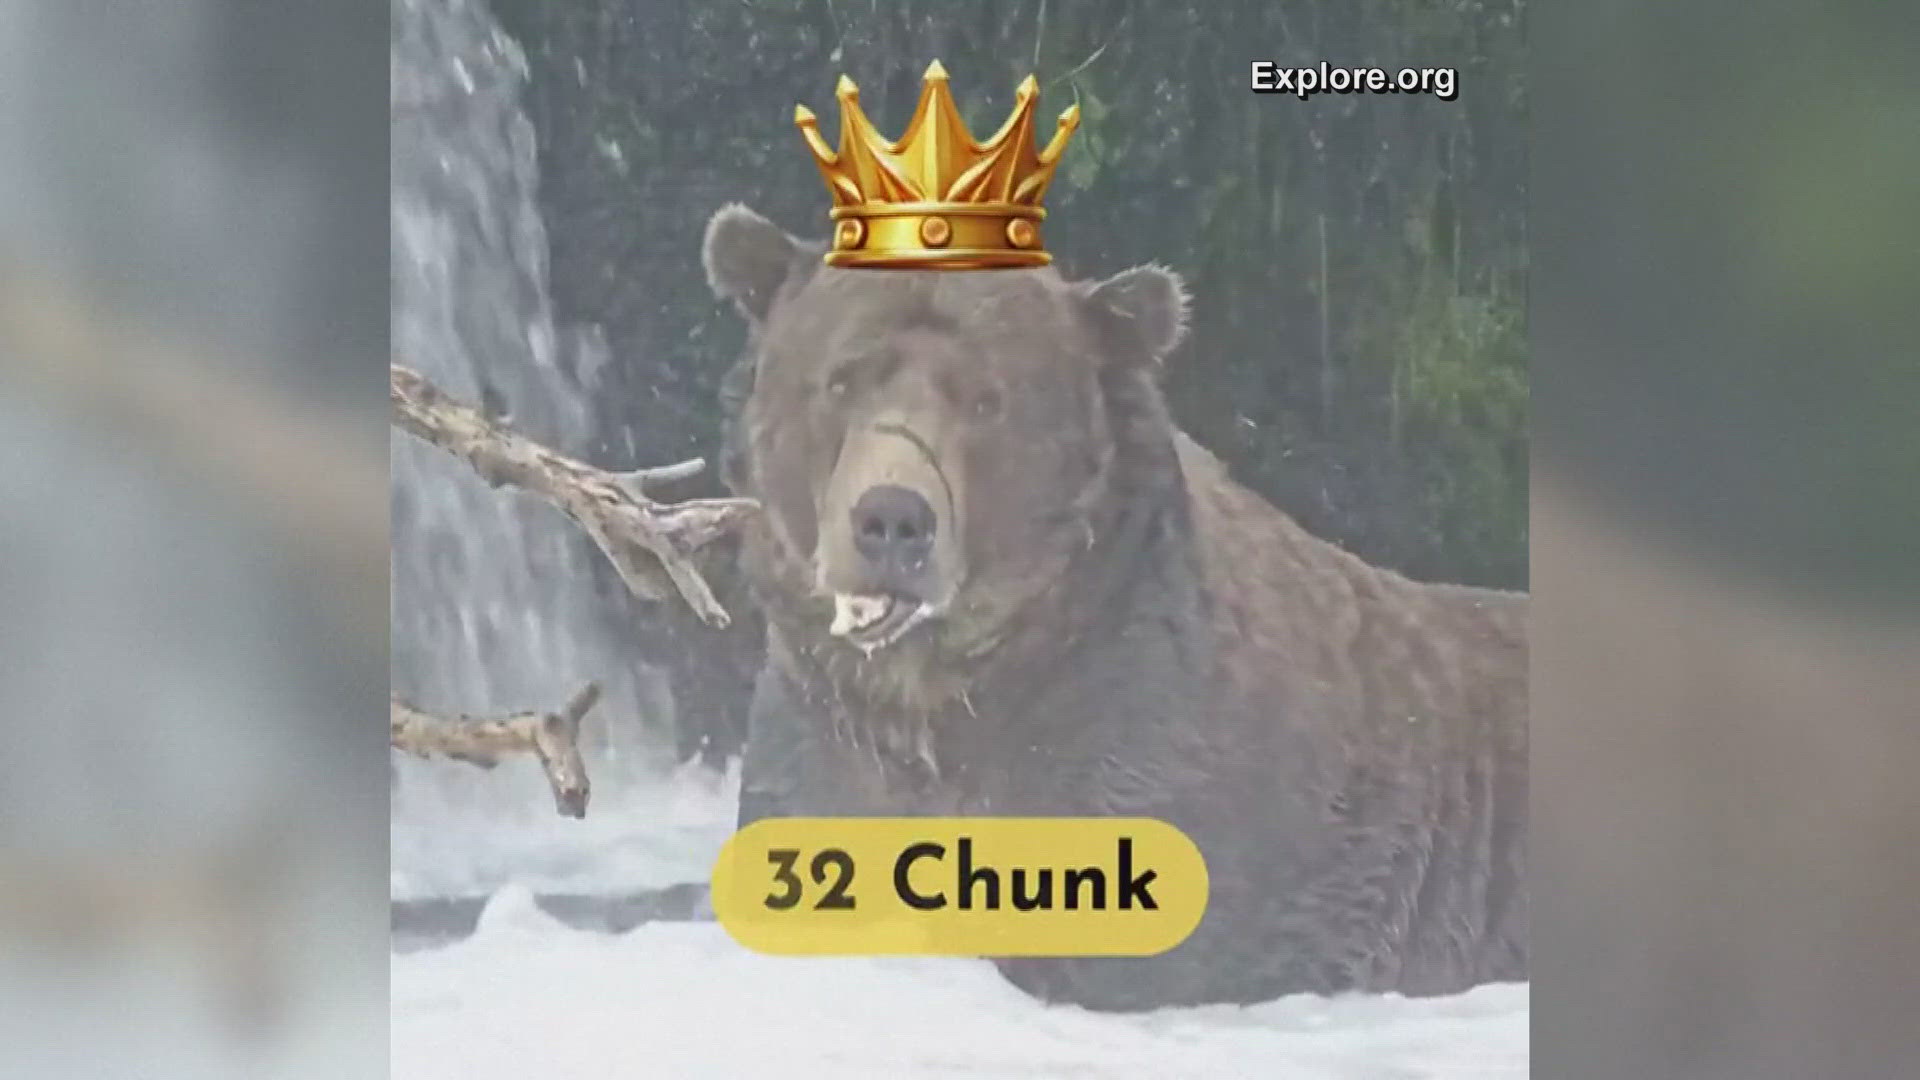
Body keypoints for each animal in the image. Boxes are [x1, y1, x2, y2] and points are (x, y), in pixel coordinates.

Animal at [702, 202, 1528, 1012]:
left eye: (986, 397)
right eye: (840, 379)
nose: (892, 519)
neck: (941, 694)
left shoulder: (1141, 765)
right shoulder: (823, 743)